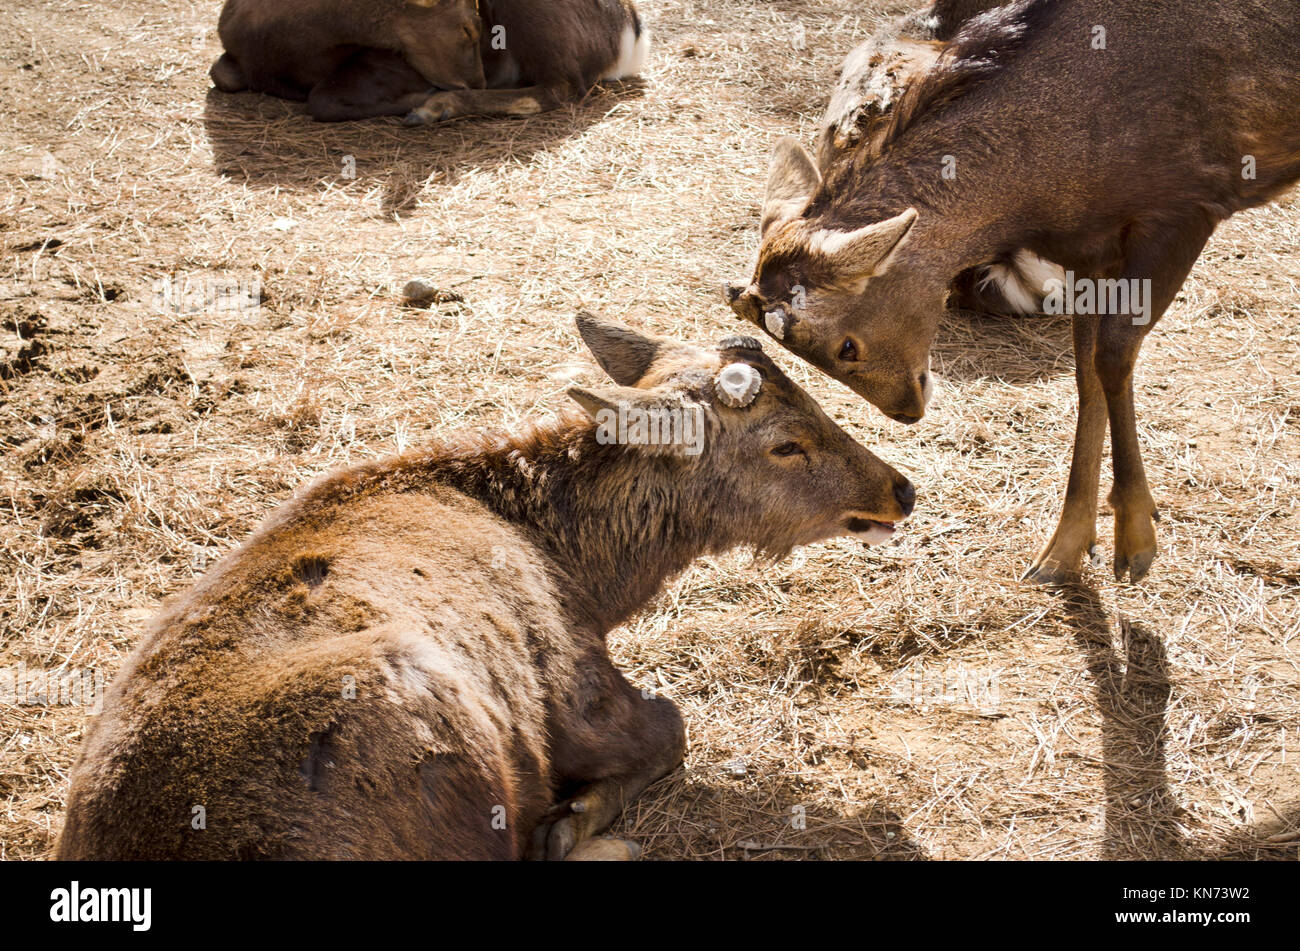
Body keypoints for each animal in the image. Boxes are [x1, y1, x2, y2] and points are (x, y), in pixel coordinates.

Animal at [56, 315, 915, 860]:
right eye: (786, 443)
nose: (901, 488)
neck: (590, 577)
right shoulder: (576, 687)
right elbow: (673, 724)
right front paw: (573, 820)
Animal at [209, 0, 649, 124]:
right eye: (469, 30)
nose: (478, 80)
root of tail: (632, 35)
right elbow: (220, 73)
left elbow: (323, 99)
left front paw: (421, 100)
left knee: (563, 86)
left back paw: (435, 108)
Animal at [726, 0, 1300, 586]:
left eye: (846, 345)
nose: (907, 412)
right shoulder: (1092, 253)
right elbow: (1087, 377)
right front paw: (1061, 553)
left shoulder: (1188, 208)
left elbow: (1113, 357)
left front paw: (1137, 539)